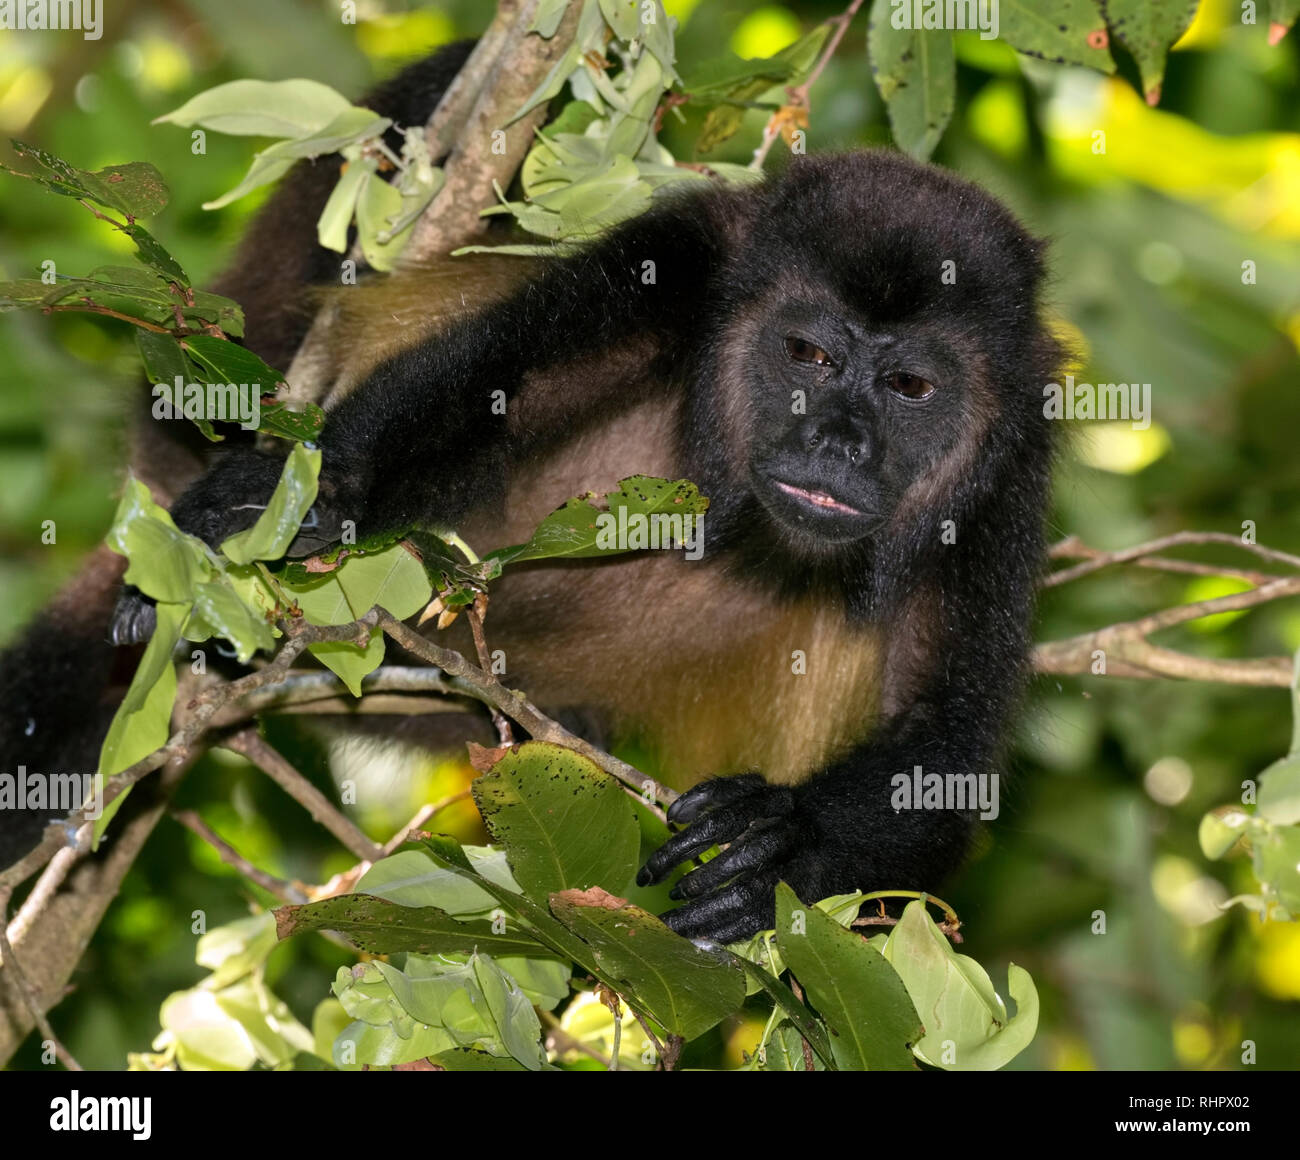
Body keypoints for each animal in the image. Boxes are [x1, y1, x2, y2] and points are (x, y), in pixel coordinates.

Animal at [0, 44, 1061, 945]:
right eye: (808, 354)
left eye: (910, 386)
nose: (837, 441)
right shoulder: (688, 258)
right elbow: (493, 393)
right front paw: (320, 495)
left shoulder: (1013, 463)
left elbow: (947, 741)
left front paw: (780, 843)